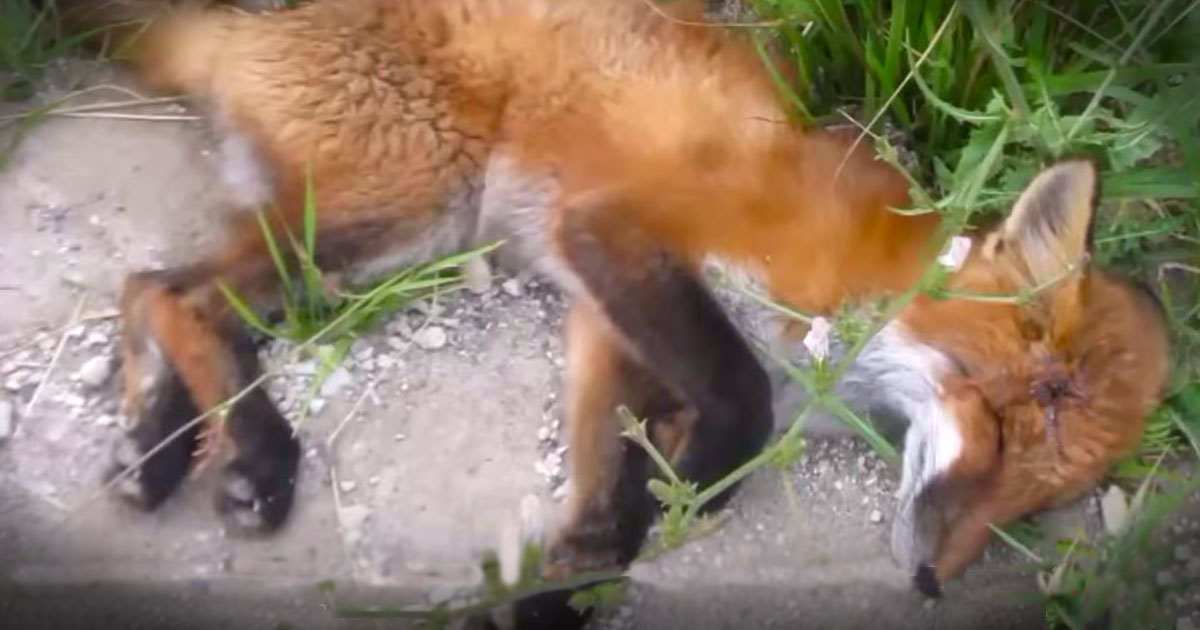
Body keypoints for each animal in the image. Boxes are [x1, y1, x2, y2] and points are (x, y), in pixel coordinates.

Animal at [50, 0, 1171, 627]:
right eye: (1002, 426)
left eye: (1037, 499)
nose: (935, 582)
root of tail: (252, 23)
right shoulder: (616, 231)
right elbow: (734, 403)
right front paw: (691, 476)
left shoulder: (603, 322)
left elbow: (605, 497)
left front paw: (565, 586)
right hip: (404, 215)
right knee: (175, 292)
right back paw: (252, 456)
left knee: (155, 290)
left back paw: (155, 447)